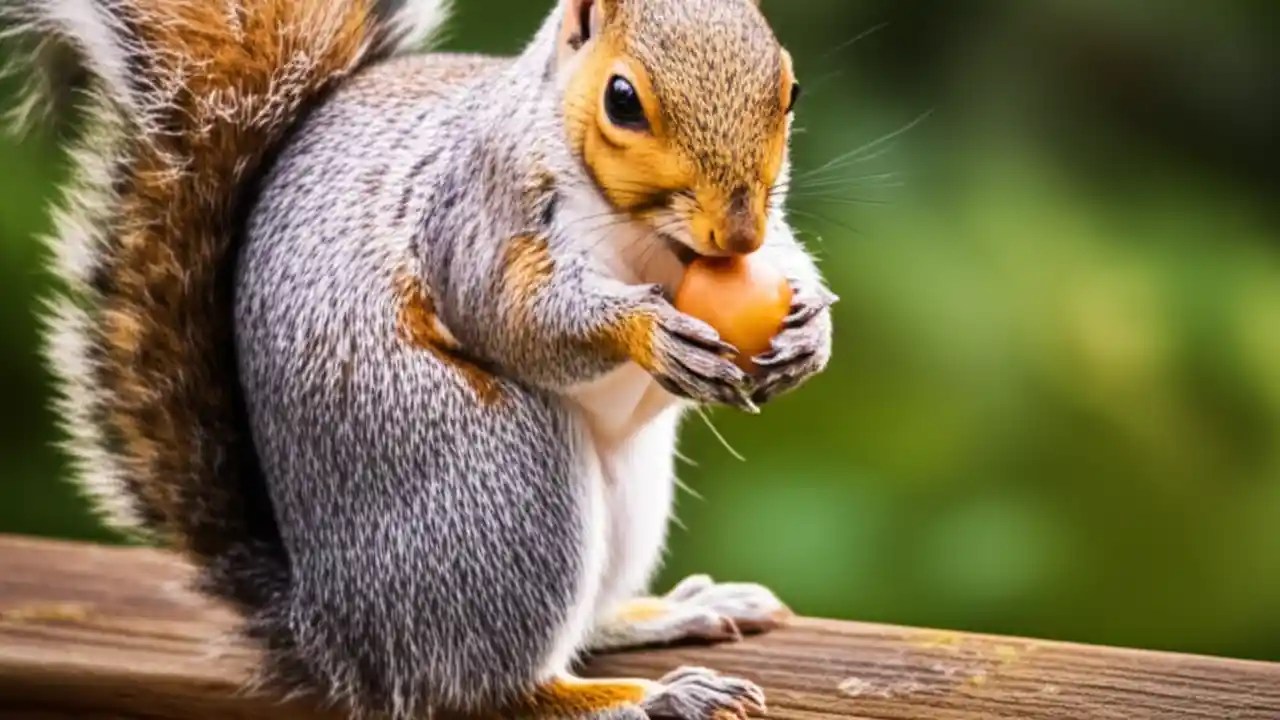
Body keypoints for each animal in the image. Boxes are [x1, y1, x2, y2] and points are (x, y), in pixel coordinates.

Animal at [9, 0, 835, 717]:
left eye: (791, 89)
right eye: (623, 100)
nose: (737, 233)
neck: (643, 234)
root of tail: (340, 637)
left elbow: (787, 257)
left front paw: (810, 331)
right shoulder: (477, 213)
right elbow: (515, 316)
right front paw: (646, 329)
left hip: (625, 494)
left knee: (574, 626)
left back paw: (669, 614)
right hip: (502, 489)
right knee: (486, 688)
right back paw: (646, 699)